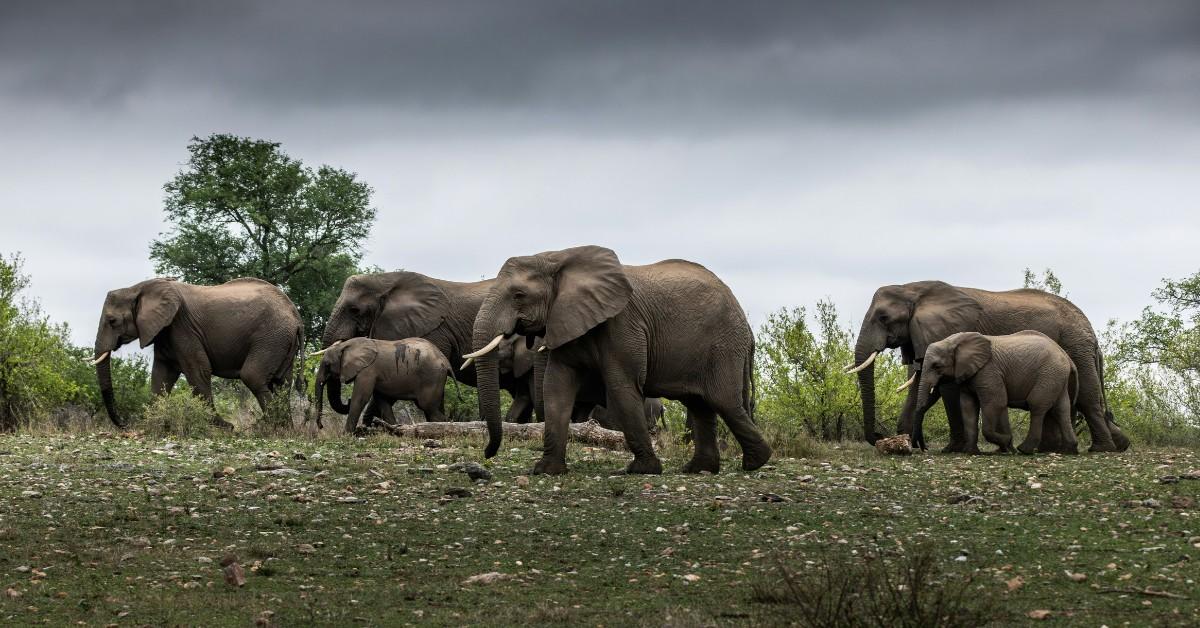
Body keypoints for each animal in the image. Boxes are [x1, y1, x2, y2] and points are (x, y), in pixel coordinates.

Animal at [91, 277, 303, 427]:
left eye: (112, 321)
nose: (124, 424)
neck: (137, 288)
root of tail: (296, 316)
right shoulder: (165, 331)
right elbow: (162, 374)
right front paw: (155, 422)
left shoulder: (182, 326)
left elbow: (198, 370)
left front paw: (223, 427)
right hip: (281, 341)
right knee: (282, 383)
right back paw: (285, 428)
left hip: (270, 336)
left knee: (253, 376)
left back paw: (269, 426)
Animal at [313, 337, 453, 433]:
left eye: (327, 365)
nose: (321, 426)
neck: (346, 345)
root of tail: (446, 362)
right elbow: (382, 401)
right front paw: (395, 429)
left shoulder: (368, 370)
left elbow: (360, 398)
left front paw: (345, 435)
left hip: (432, 377)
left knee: (428, 407)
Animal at [467, 245, 771, 475]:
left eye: (519, 295)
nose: (488, 454)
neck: (559, 257)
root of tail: (745, 324)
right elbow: (556, 387)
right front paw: (546, 470)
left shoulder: (623, 324)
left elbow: (621, 386)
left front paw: (643, 470)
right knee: (700, 403)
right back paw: (699, 469)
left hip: (723, 345)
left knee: (723, 400)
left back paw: (756, 462)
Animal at [912, 331, 1079, 455]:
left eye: (936, 366)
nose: (923, 448)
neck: (954, 341)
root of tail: (1066, 357)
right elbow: (968, 406)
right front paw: (971, 452)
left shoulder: (988, 371)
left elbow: (996, 402)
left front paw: (1007, 443)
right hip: (1056, 376)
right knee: (1062, 409)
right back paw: (1069, 450)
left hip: (1049, 373)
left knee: (1037, 406)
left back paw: (1024, 450)